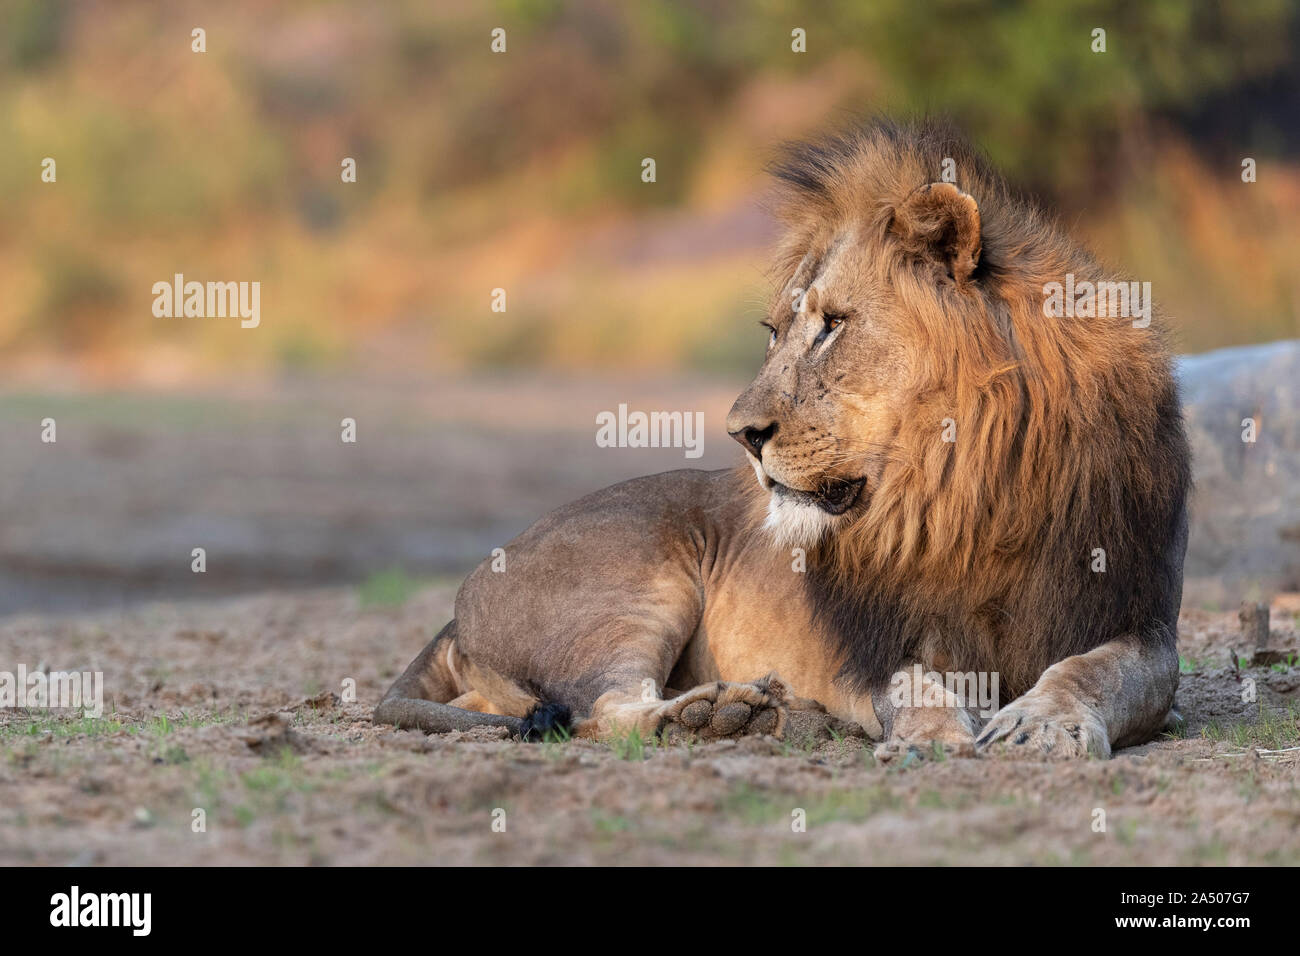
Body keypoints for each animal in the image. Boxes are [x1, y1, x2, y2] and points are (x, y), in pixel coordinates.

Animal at [375, 118, 1191, 760]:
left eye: (833, 325)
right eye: (775, 331)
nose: (741, 434)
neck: (963, 487)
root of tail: (461, 601)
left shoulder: (1141, 621)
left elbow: (1094, 671)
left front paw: (1041, 724)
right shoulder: (875, 646)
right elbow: (917, 684)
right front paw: (930, 737)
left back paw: (776, 714)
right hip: (634, 590)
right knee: (598, 713)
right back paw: (711, 715)